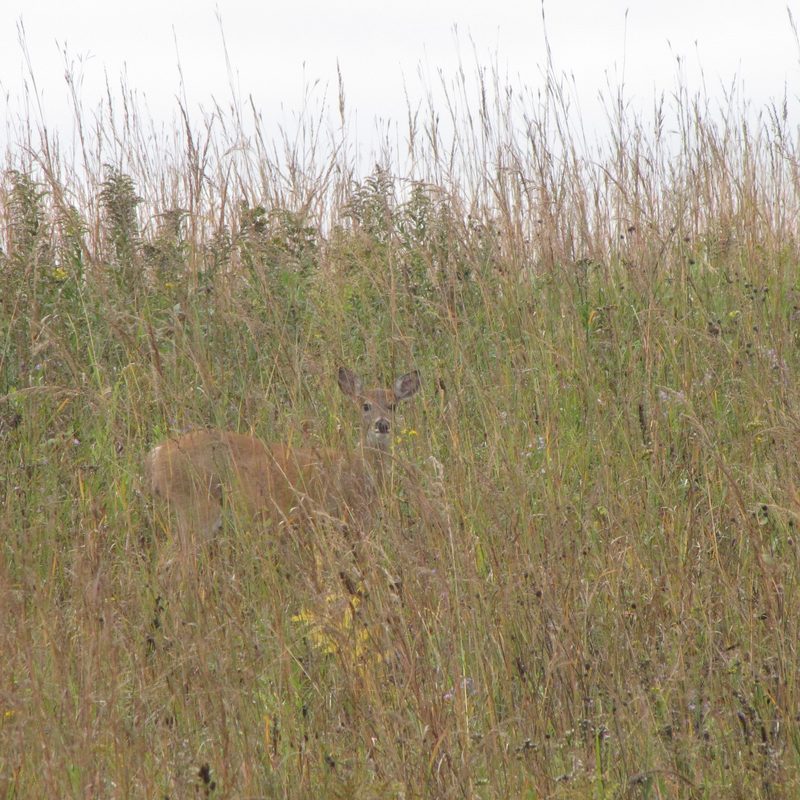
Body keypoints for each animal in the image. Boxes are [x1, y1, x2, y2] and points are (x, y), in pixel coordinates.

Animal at [145, 367, 421, 551]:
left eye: (393, 405)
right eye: (365, 405)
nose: (382, 425)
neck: (358, 471)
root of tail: (156, 455)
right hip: (196, 506)